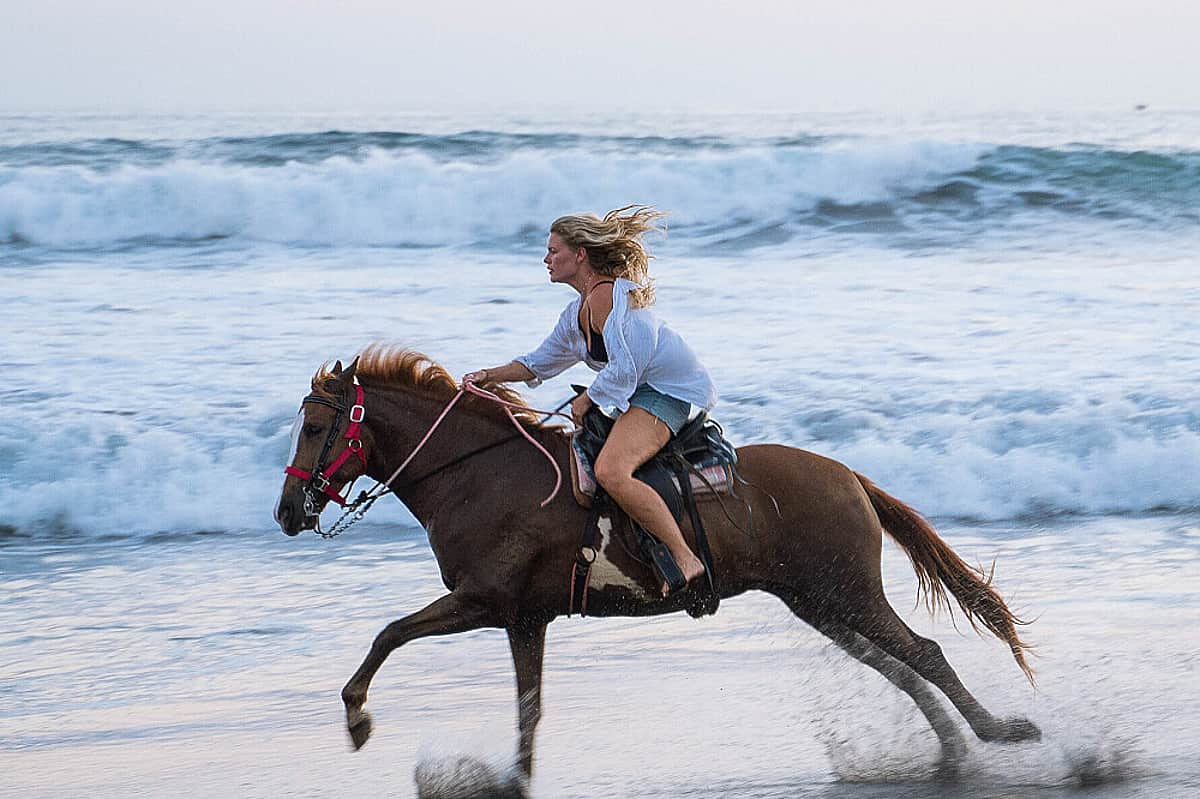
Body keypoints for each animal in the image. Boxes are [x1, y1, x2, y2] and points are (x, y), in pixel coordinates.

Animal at [274, 343, 1041, 777]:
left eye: (313, 426)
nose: (287, 511)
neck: (479, 472)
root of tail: (848, 474)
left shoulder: (482, 602)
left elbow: (389, 634)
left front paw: (357, 717)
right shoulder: (524, 619)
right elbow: (528, 713)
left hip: (849, 593)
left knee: (924, 653)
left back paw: (998, 732)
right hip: (818, 601)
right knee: (899, 667)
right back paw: (953, 747)